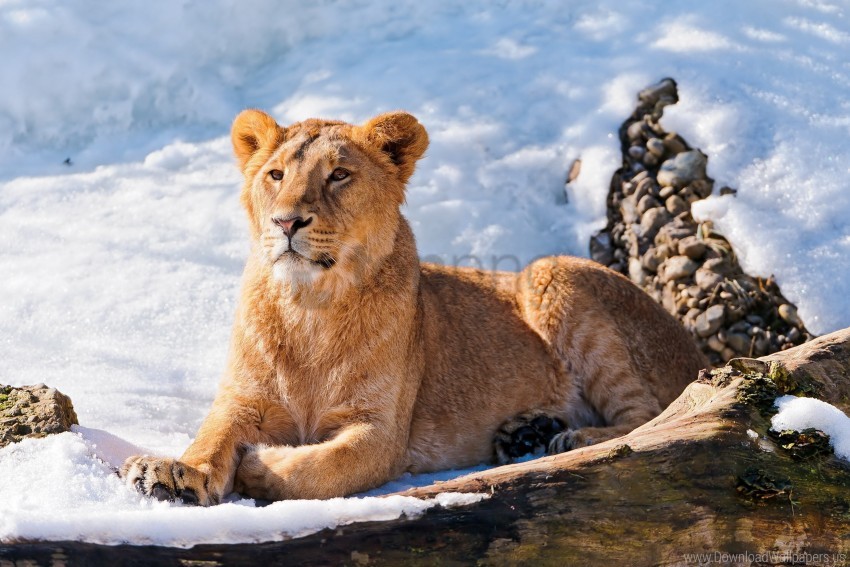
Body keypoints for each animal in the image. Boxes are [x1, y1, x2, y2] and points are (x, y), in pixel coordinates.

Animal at [121, 110, 707, 505]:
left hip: (552, 272)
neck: (309, 305)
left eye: (338, 175)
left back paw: (569, 438)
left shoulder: (382, 431)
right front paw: (172, 473)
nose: (286, 222)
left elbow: (322, 468)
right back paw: (526, 434)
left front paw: (261, 464)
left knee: (650, 417)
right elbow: (211, 435)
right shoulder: (243, 399)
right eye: (276, 175)